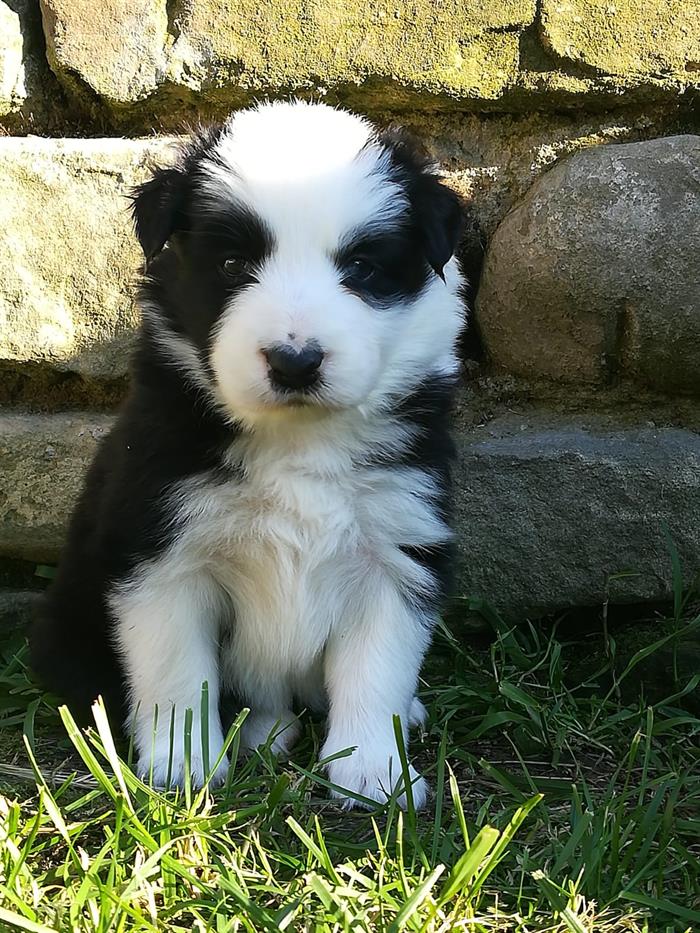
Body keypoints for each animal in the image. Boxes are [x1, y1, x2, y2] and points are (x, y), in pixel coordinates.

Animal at [34, 98, 470, 804]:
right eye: (233, 265)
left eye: (362, 269)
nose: (295, 361)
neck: (298, 438)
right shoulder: (163, 553)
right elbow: (177, 672)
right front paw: (183, 767)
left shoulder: (397, 543)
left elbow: (378, 668)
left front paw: (374, 771)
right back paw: (262, 733)